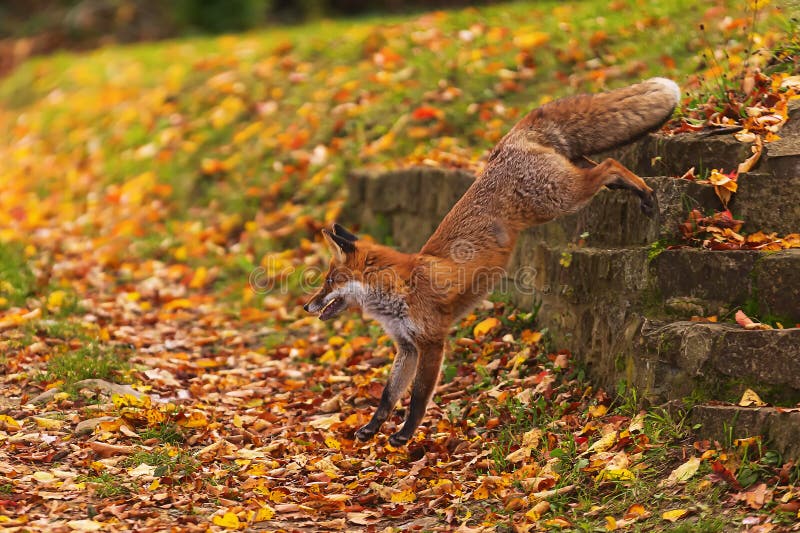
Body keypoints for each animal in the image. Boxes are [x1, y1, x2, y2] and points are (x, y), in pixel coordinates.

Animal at [304, 77, 680, 447]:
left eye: (329, 281)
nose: (307, 306)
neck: (397, 290)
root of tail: (505, 144)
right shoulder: (407, 346)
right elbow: (387, 395)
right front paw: (372, 428)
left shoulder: (431, 342)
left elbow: (418, 397)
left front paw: (405, 434)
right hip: (565, 182)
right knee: (603, 168)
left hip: (559, 198)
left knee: (610, 165)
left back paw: (647, 194)